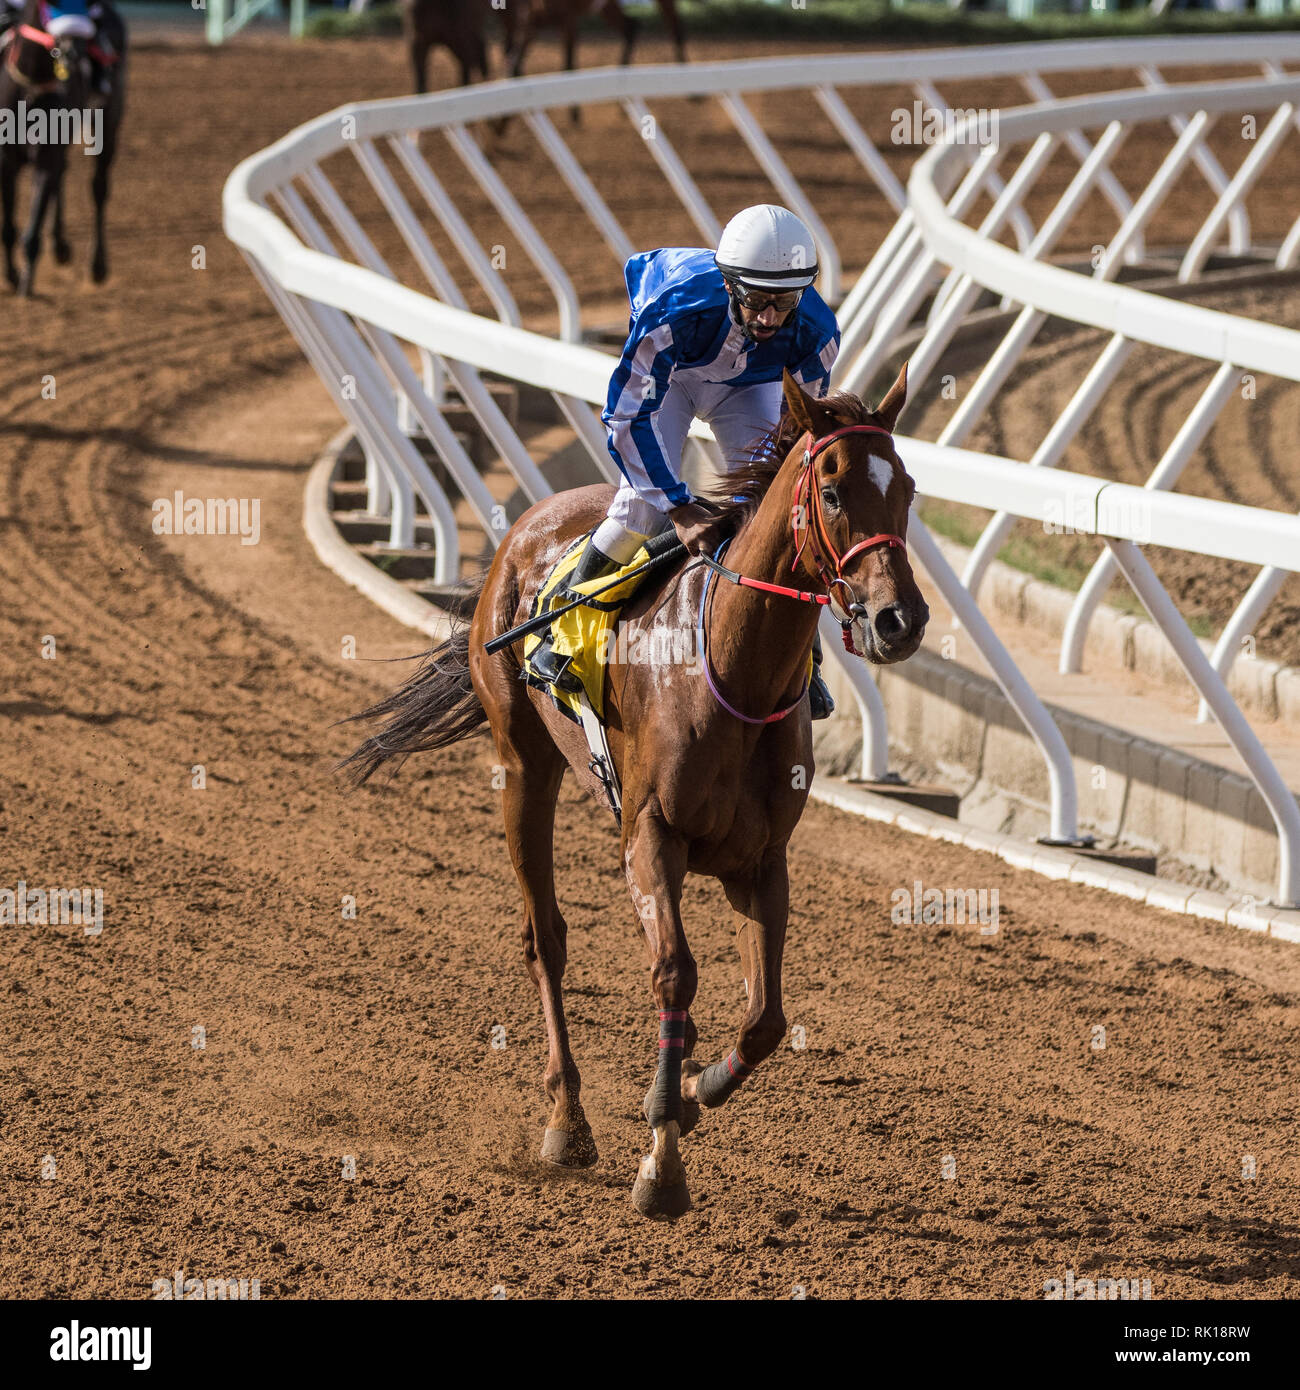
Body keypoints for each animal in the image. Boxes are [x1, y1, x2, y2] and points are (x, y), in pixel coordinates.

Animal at [0, 0, 126, 295]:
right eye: (52, 3)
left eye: (88, 3)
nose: (73, 51)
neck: (31, 87)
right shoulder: (7, 159)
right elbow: (8, 226)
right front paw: (11, 275)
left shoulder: (47, 154)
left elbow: (32, 228)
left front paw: (25, 283)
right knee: (62, 174)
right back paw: (59, 245)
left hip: (109, 120)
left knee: (98, 186)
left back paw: (96, 264)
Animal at [341, 366, 928, 1218]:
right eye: (834, 490)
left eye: (908, 489)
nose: (899, 620)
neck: (733, 668)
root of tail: (529, 524)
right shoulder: (651, 837)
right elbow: (675, 973)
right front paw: (661, 1162)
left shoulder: (762, 859)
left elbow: (766, 1019)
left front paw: (694, 1087)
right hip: (524, 766)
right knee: (544, 938)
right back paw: (567, 1121)